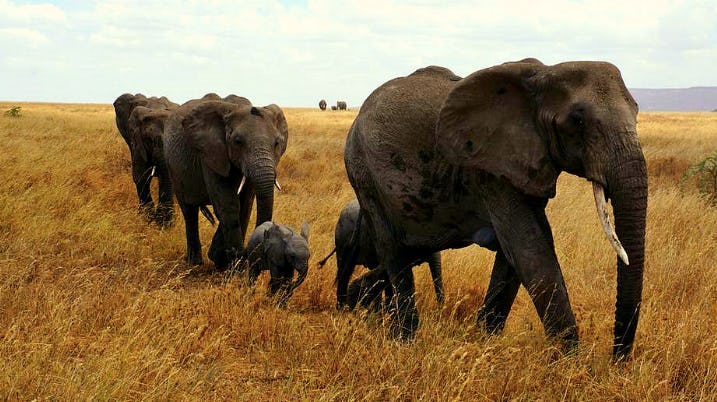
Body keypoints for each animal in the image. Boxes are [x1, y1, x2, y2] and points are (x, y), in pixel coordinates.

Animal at [164, 97, 289, 269]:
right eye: (237, 142)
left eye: (277, 143)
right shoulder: (211, 154)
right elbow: (227, 204)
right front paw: (236, 267)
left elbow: (245, 203)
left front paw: (222, 260)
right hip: (173, 168)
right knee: (189, 211)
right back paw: (194, 263)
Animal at [344, 60, 647, 360]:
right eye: (577, 120)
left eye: (636, 111)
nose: (617, 361)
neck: (545, 72)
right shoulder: (491, 170)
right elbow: (530, 249)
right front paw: (571, 363)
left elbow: (516, 254)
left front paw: (483, 341)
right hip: (365, 177)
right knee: (394, 252)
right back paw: (405, 340)